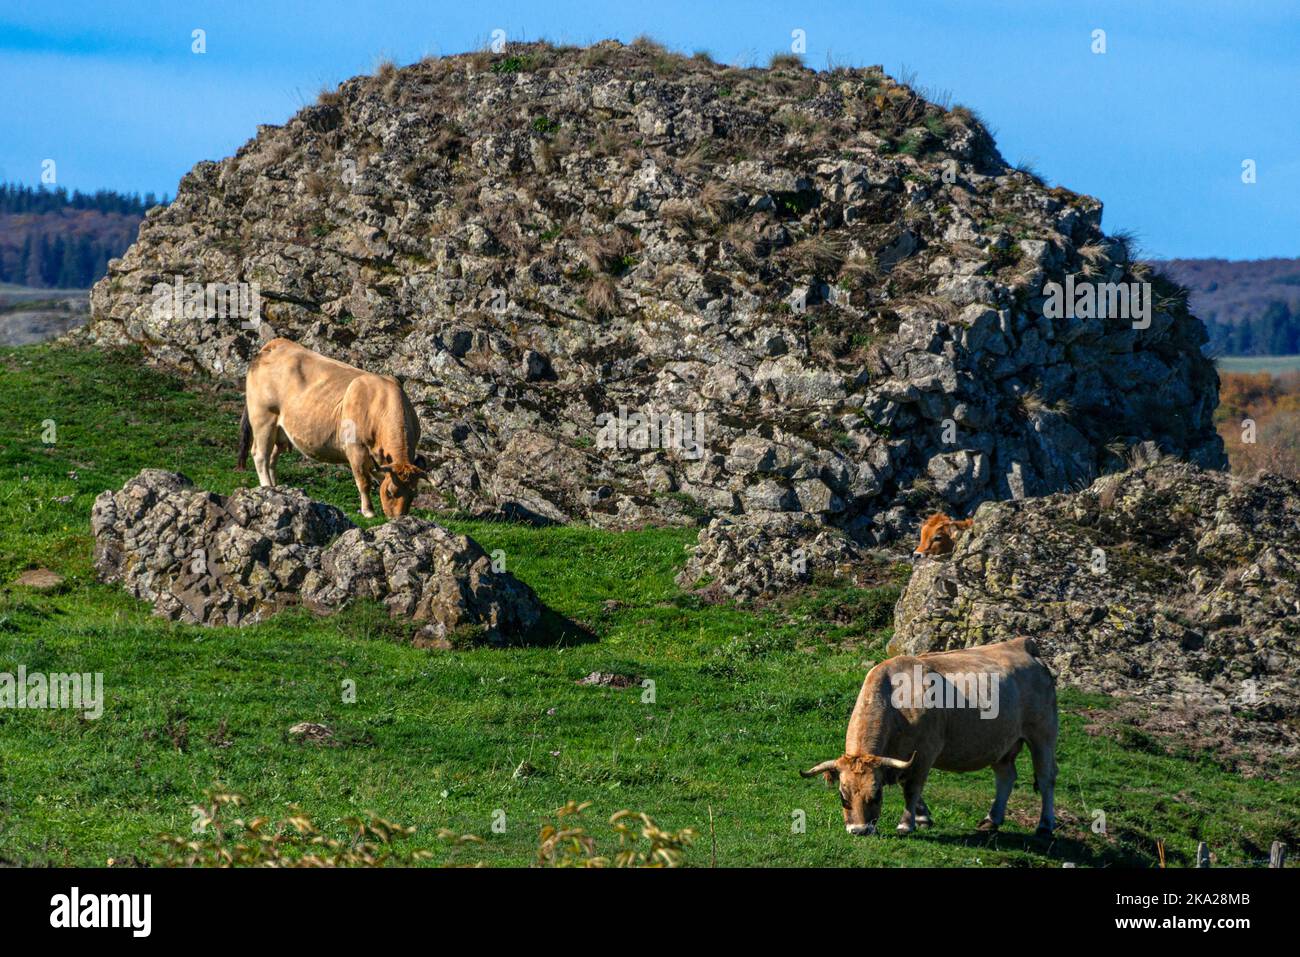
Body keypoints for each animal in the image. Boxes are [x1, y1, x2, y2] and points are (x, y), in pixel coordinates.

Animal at [236, 338, 427, 519]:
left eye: (413, 494)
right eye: (390, 492)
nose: (398, 518)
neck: (381, 405)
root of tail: (275, 344)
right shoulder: (355, 448)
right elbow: (363, 481)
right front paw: (368, 511)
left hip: (280, 430)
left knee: (272, 458)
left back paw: (277, 488)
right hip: (263, 419)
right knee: (260, 455)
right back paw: (267, 487)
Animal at [801, 636, 1057, 837]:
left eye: (876, 795)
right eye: (843, 796)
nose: (860, 830)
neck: (895, 701)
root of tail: (1023, 644)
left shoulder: (926, 751)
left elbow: (912, 788)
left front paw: (907, 823)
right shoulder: (902, 758)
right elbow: (907, 783)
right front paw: (923, 816)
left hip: (1043, 733)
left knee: (1046, 777)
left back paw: (1045, 825)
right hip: (1002, 742)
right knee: (1006, 776)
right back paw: (991, 820)